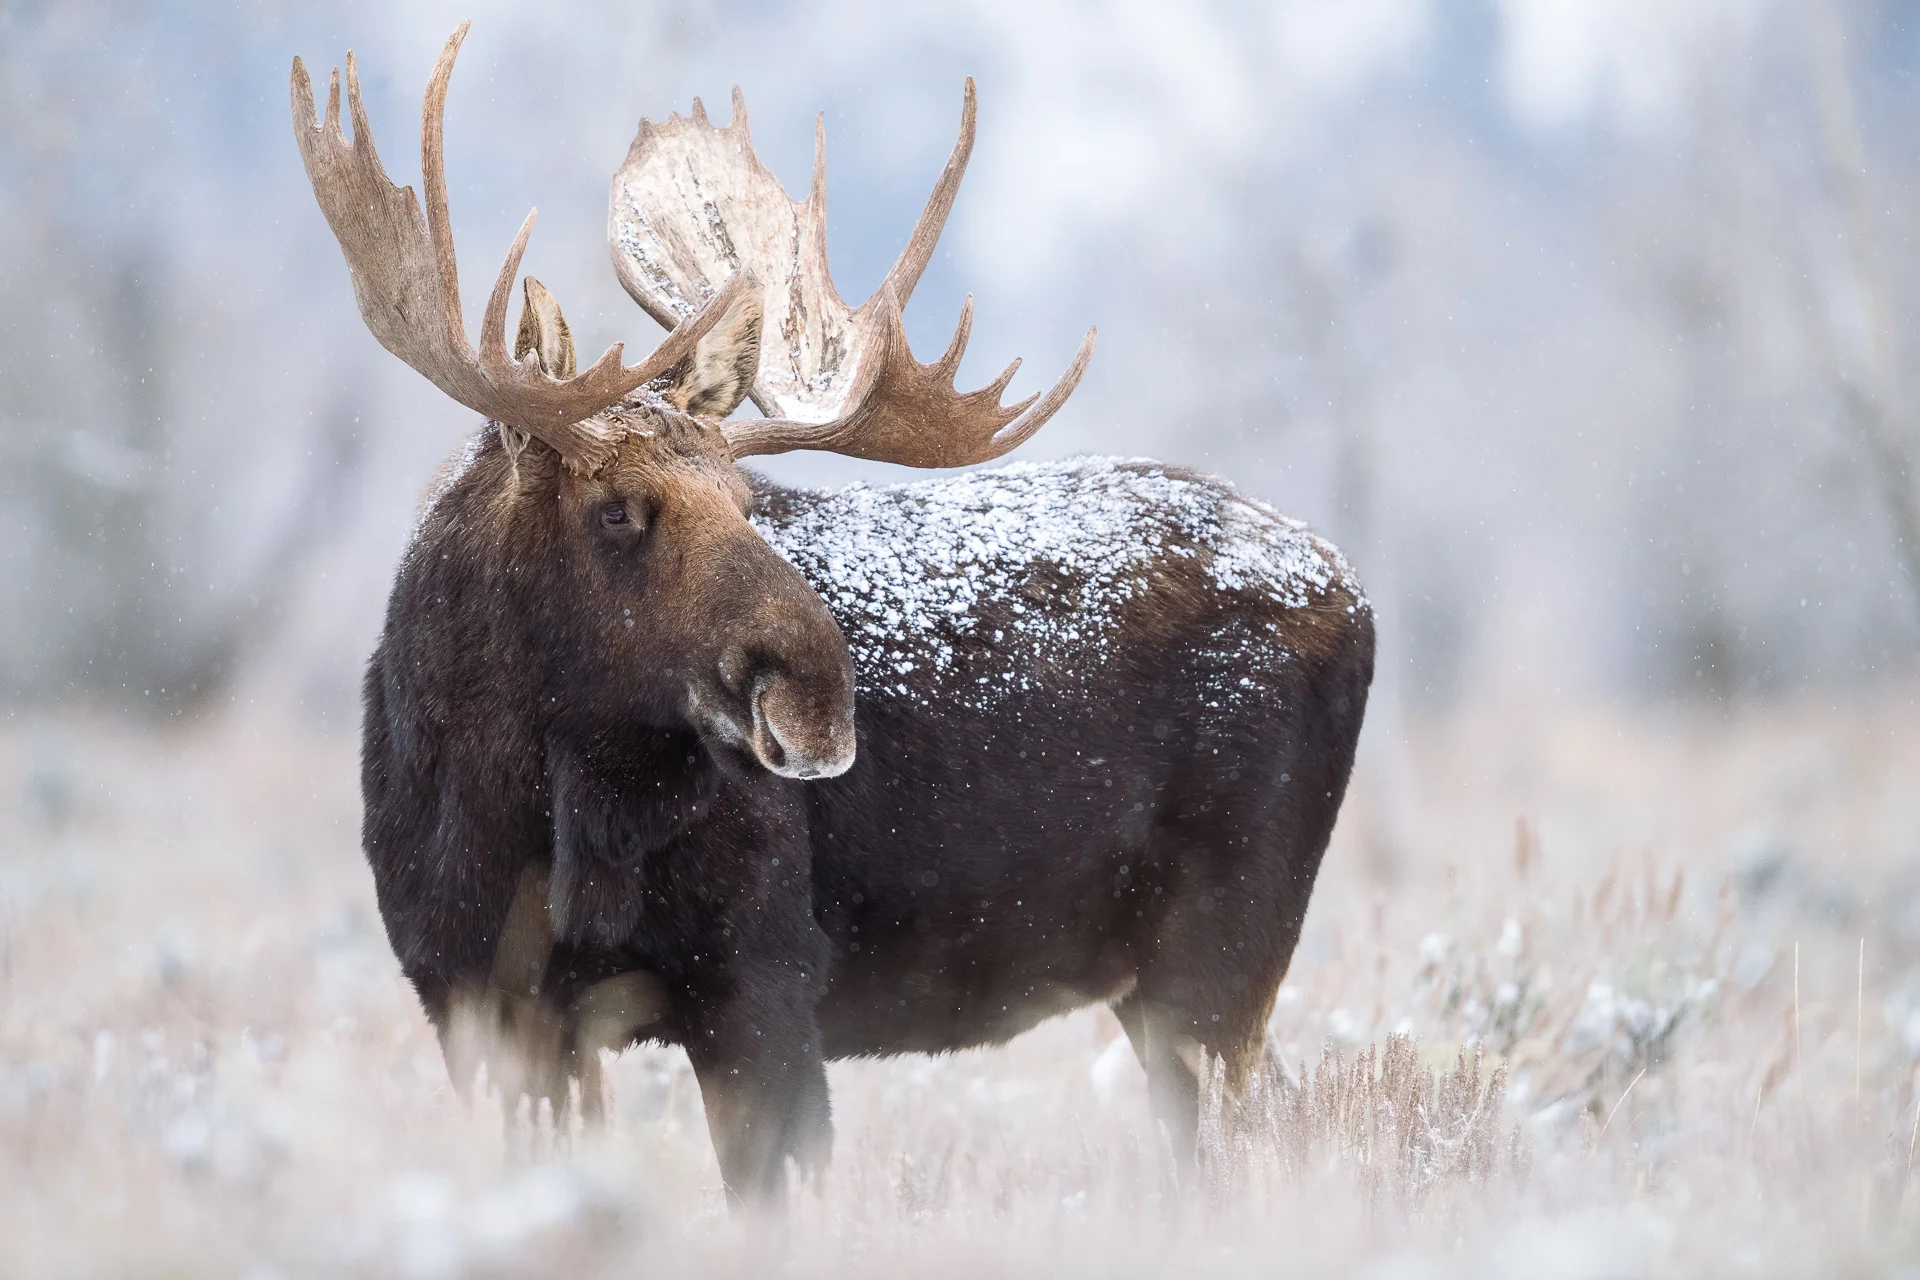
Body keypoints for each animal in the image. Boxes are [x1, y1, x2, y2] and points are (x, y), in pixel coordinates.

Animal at [292, 22, 1373, 1207]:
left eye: (745, 496)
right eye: (615, 508)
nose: (817, 693)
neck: (510, 815)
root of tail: (1351, 589)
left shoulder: (762, 977)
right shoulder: (473, 1002)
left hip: (1225, 951)